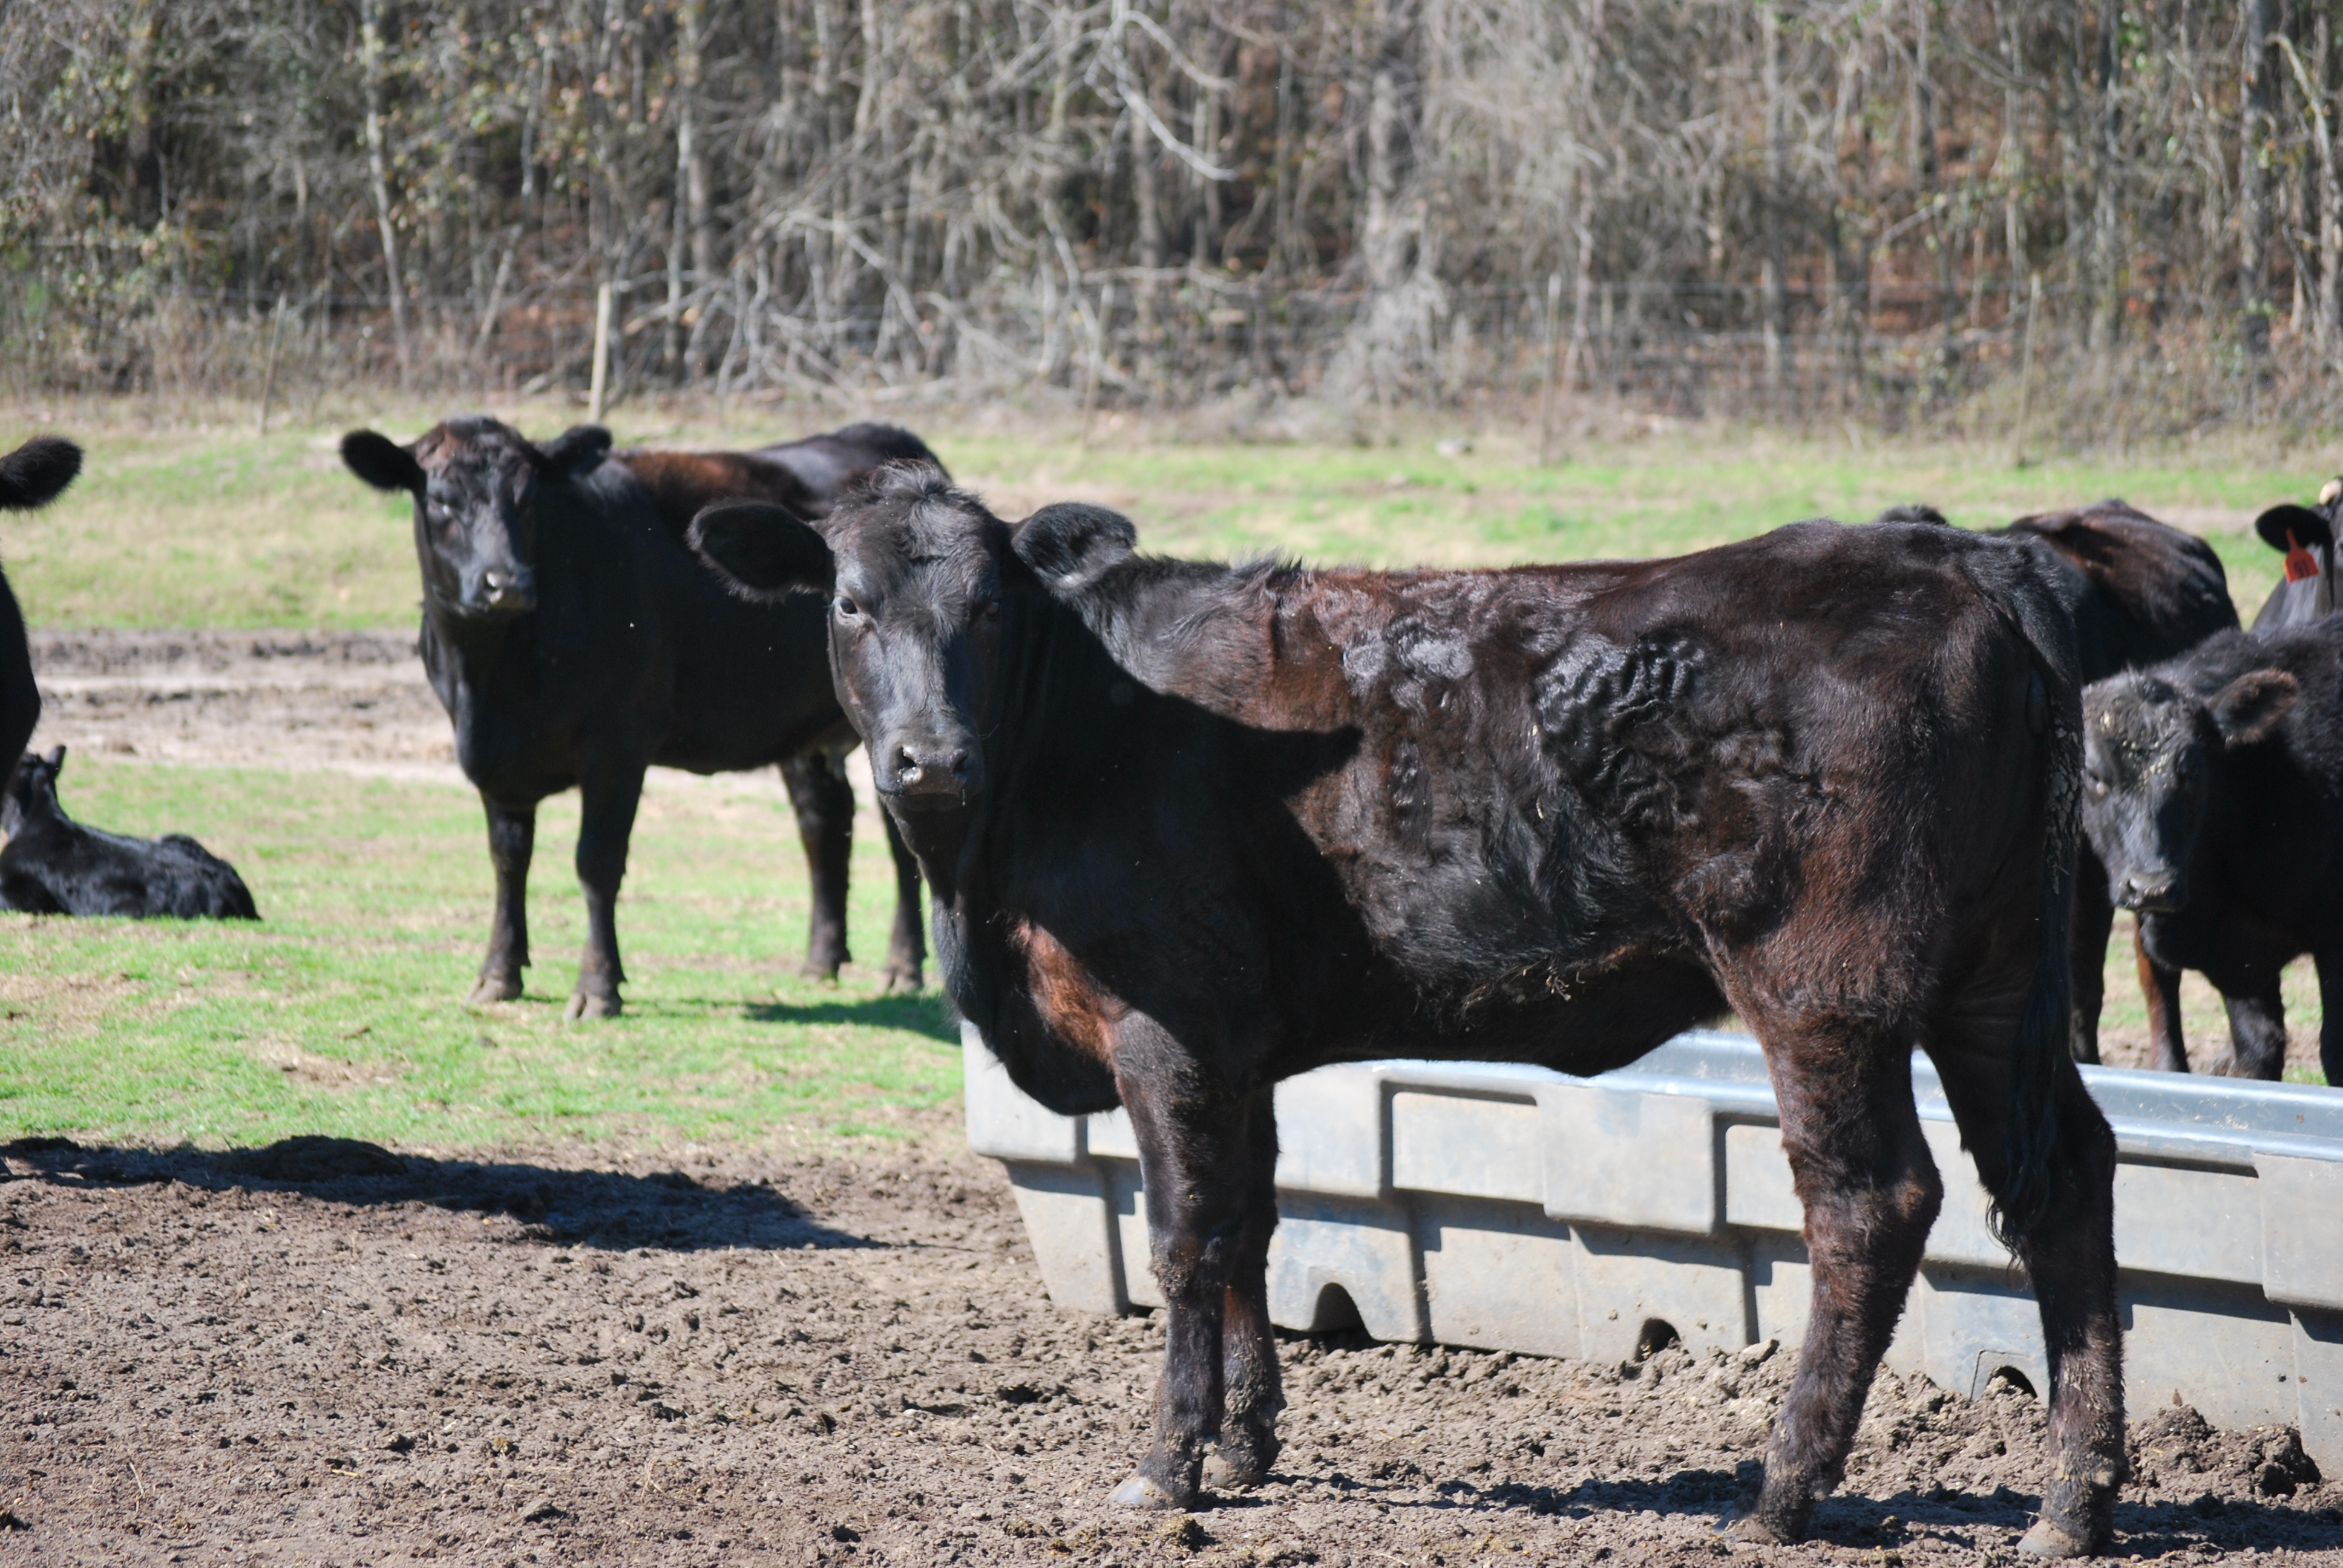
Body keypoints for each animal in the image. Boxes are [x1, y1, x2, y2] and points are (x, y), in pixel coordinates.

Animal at [337, 415, 927, 1019]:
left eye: (527, 500)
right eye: (441, 501)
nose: (506, 584)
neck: (492, 682)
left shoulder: (617, 747)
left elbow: (596, 863)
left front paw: (597, 986)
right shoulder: (495, 762)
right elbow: (507, 860)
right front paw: (498, 973)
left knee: (899, 842)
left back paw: (903, 966)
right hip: (803, 730)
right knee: (824, 822)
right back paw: (821, 961)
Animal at [689, 467, 2126, 1556]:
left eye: (990, 606)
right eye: (851, 602)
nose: (931, 757)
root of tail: (1959, 557)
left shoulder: (1166, 1028)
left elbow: (1182, 1240)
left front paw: (1168, 1462)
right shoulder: (1237, 1046)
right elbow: (1250, 1228)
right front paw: (1249, 1444)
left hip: (1823, 984)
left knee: (1870, 1205)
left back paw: (1779, 1492)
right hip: (2000, 978)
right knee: (2064, 1177)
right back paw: (2072, 1503)